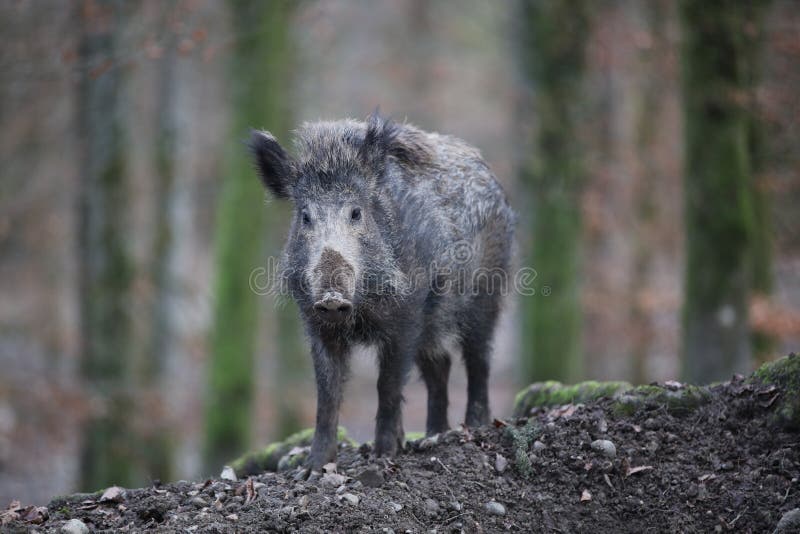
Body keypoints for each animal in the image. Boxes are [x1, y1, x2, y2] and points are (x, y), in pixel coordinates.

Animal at [250, 112, 515, 470]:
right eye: (305, 215)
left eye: (356, 212)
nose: (332, 297)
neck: (361, 310)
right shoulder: (316, 323)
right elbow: (327, 394)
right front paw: (313, 468)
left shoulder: (405, 317)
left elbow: (386, 385)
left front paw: (384, 454)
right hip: (430, 323)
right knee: (441, 364)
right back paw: (433, 436)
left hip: (486, 293)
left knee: (478, 358)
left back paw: (474, 426)